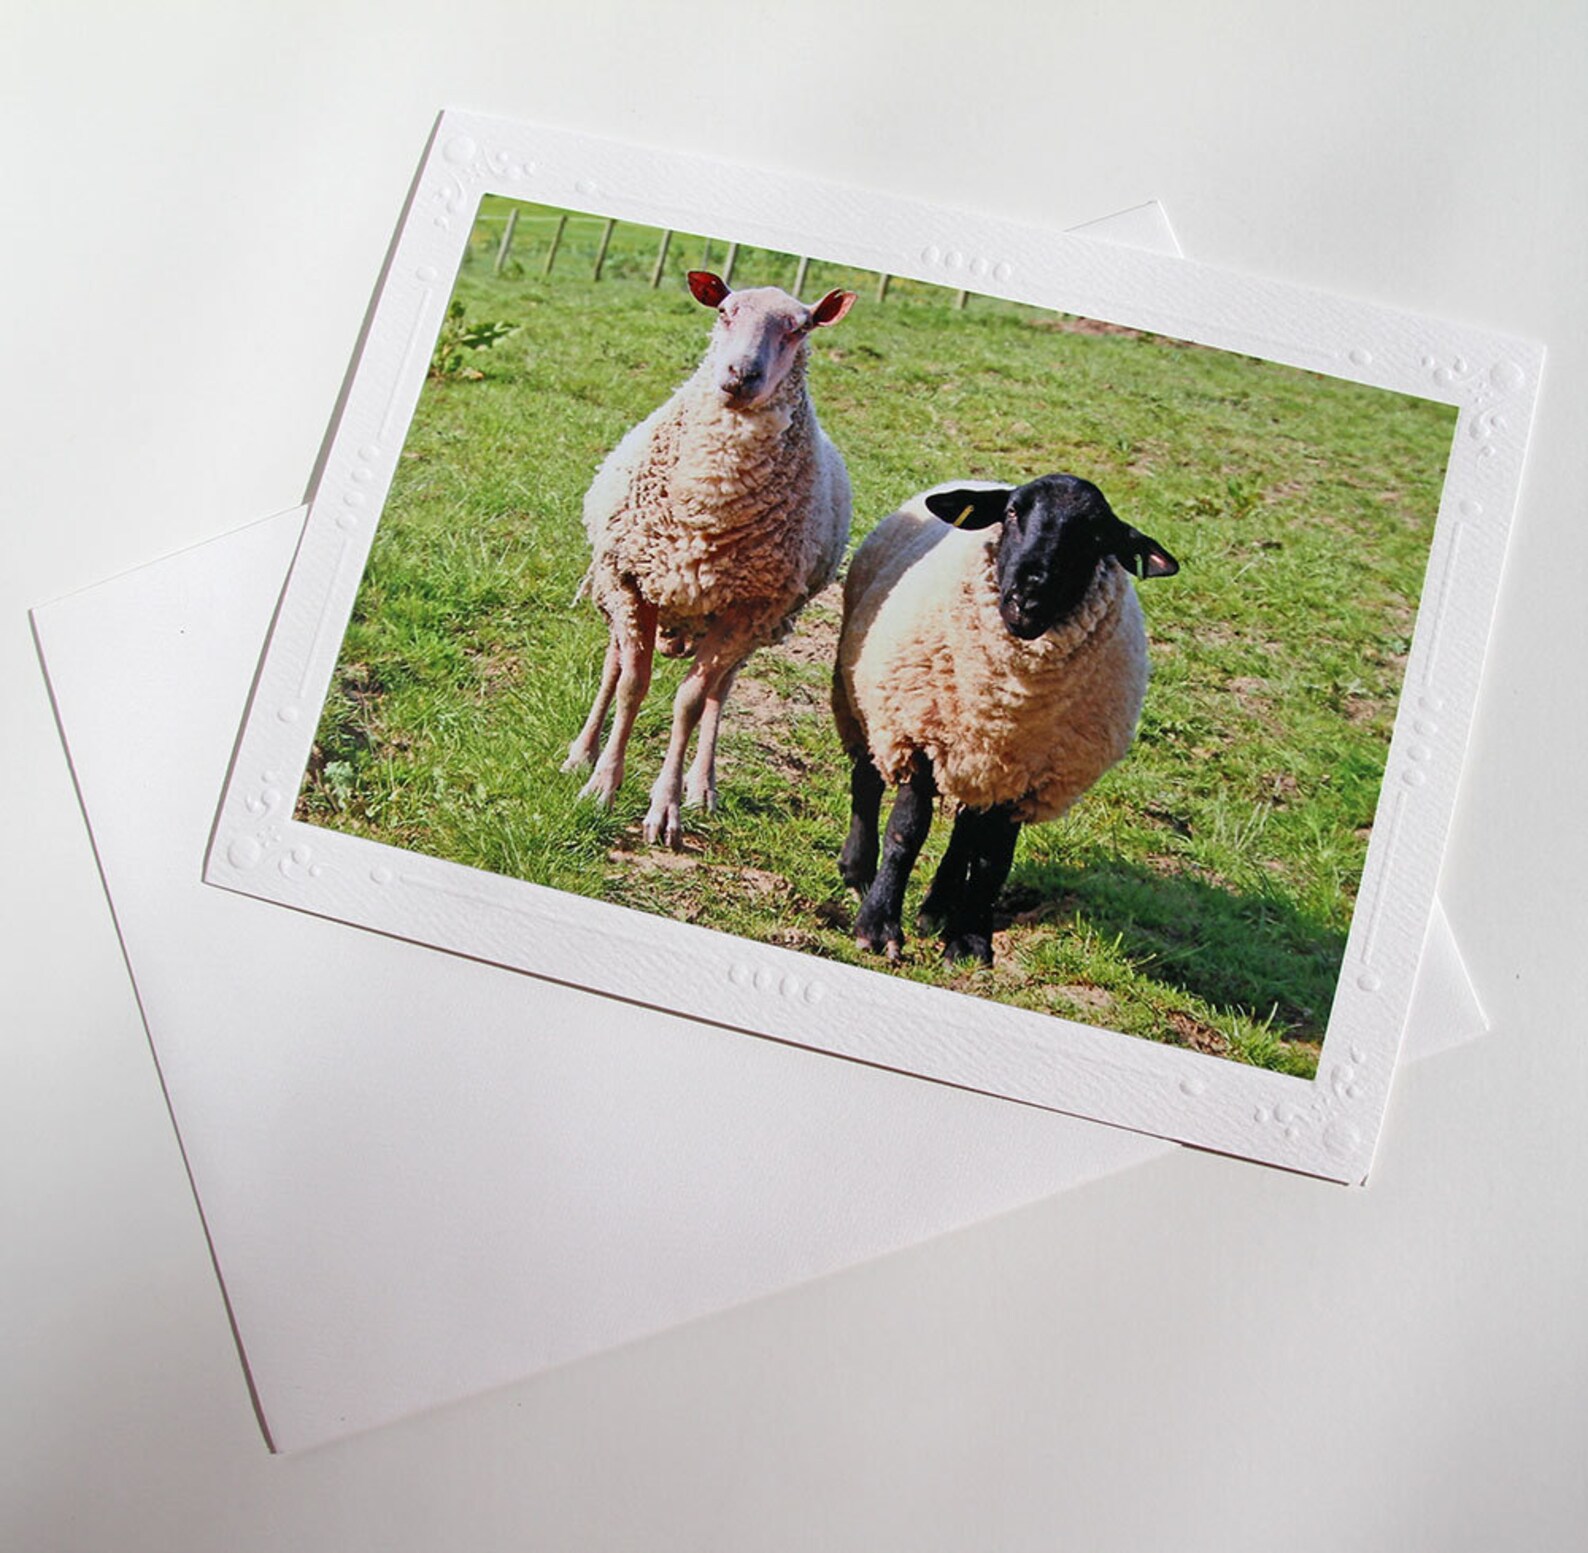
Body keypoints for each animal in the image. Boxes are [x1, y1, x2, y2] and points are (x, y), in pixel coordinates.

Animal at [563, 269, 857, 849]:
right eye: (725, 312)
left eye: (801, 327)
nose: (742, 374)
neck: (708, 504)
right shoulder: (629, 578)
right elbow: (631, 685)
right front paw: (601, 786)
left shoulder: (749, 608)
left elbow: (691, 702)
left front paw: (666, 807)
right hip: (622, 588)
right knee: (614, 664)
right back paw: (582, 754)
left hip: (753, 625)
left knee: (721, 690)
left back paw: (703, 786)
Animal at [831, 472, 1179, 966]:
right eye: (1013, 512)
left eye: (1096, 536)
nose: (1028, 593)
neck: (1007, 703)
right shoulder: (921, 734)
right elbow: (907, 832)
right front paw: (878, 927)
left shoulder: (1029, 776)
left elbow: (993, 858)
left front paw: (971, 939)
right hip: (868, 697)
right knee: (867, 776)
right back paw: (858, 870)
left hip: (982, 763)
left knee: (966, 831)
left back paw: (938, 907)